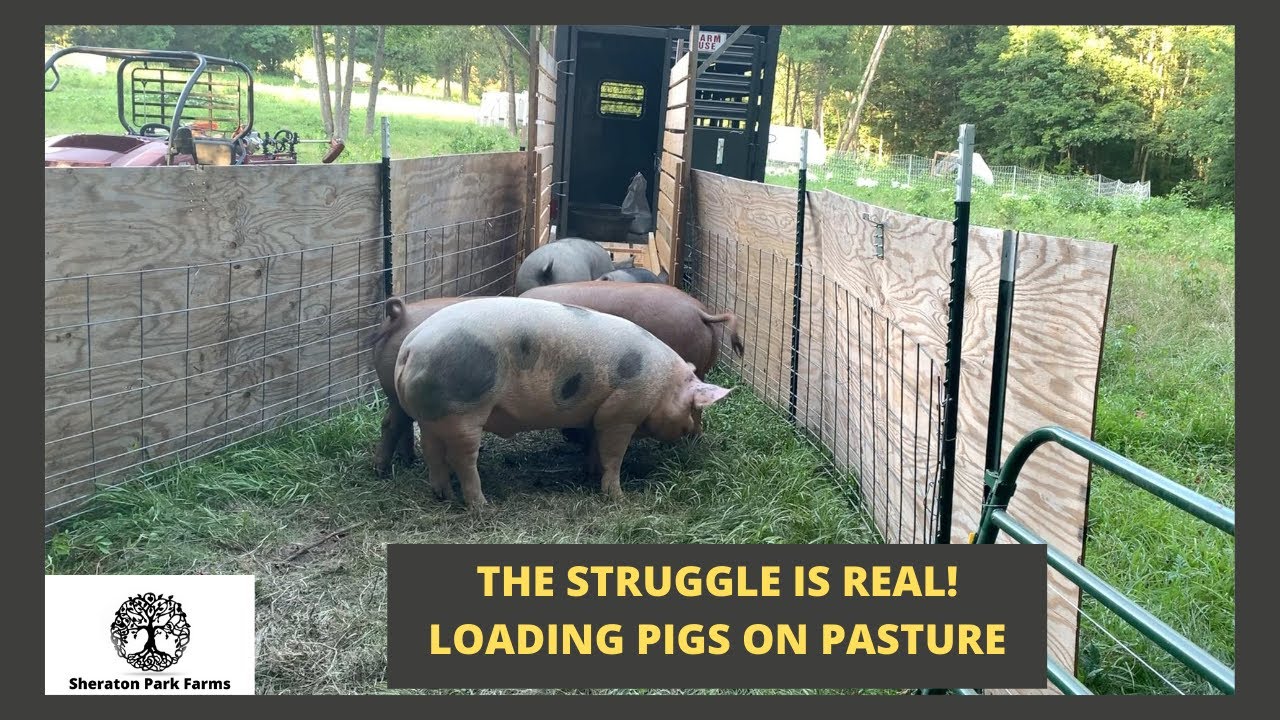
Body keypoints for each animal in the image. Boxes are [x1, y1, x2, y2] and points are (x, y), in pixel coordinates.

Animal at [393, 296, 734, 508]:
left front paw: (590, 472)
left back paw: (443, 496)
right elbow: (614, 454)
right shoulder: (622, 411)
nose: (693, 433)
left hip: (433, 416)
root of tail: (411, 348)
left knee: (432, 451)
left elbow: (595, 445)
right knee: (463, 459)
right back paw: (482, 506)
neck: (663, 384)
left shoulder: (598, 414)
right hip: (463, 410)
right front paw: (617, 496)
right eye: (693, 407)